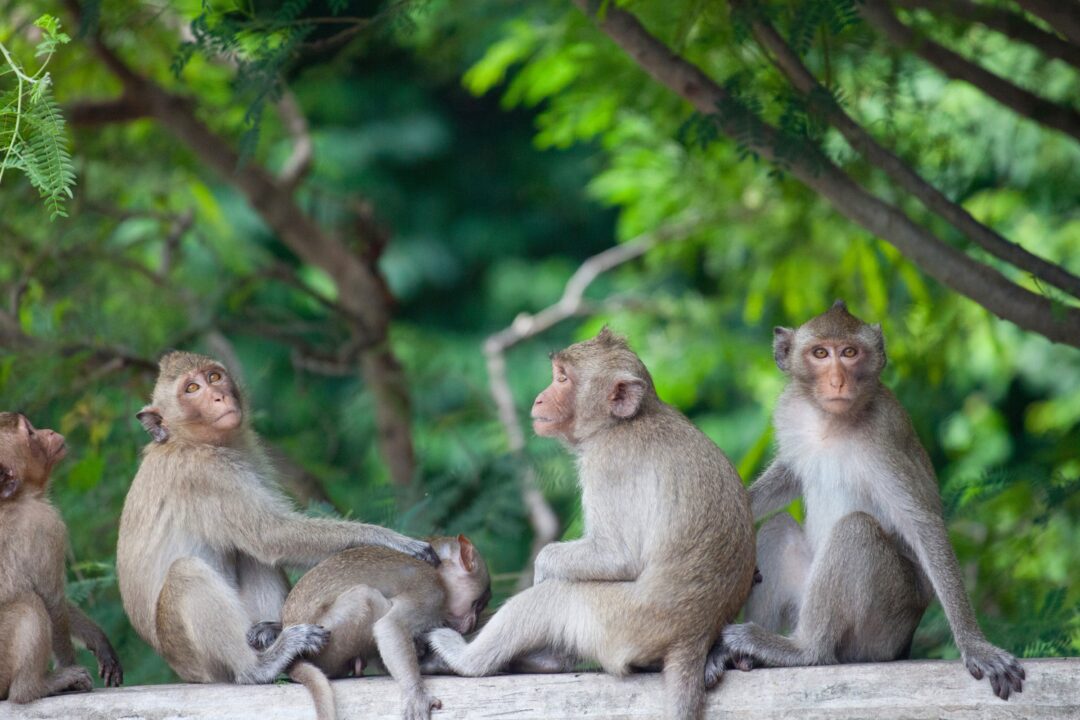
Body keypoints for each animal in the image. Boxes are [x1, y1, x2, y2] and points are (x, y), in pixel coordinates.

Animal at [0, 412, 123, 703]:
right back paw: (32, 688)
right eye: (30, 434)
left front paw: (98, 640)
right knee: (28, 603)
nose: (49, 432)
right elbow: (51, 601)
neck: (13, 499)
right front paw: (69, 665)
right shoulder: (46, 525)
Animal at [116, 350, 438, 686]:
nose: (218, 396)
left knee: (249, 556)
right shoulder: (205, 473)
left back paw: (272, 632)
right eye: (191, 389)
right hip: (193, 656)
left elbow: (265, 541)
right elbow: (269, 534)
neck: (187, 440)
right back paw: (260, 665)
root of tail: (185, 672)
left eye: (213, 377)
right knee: (187, 572)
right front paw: (390, 539)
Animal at [247, 535, 491, 720]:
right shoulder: (430, 592)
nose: (473, 622)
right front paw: (415, 694)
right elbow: (391, 625)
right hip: (327, 647)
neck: (439, 573)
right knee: (366, 598)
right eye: (479, 604)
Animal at [426, 329, 756, 720]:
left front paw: (543, 567)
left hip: (622, 623)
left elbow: (617, 556)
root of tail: (695, 635)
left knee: (558, 597)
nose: (539, 398)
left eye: (563, 379)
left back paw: (466, 659)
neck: (624, 422)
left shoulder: (607, 462)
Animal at [705, 300, 1025, 700]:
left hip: (881, 628)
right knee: (778, 527)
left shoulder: (884, 438)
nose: (838, 381)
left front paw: (975, 646)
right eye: (820, 353)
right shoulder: (791, 415)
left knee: (855, 529)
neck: (830, 422)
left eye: (850, 353)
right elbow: (789, 476)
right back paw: (734, 655)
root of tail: (902, 646)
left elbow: (922, 524)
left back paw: (801, 650)